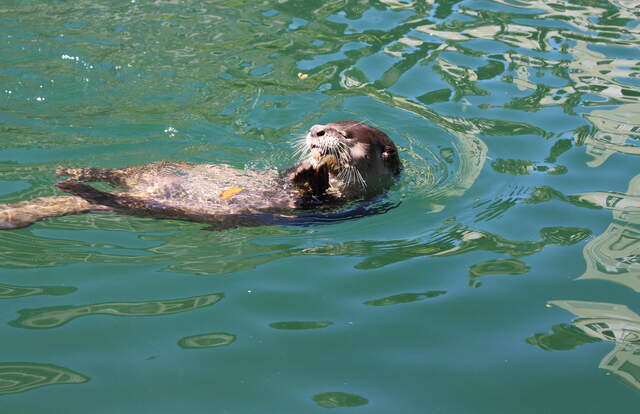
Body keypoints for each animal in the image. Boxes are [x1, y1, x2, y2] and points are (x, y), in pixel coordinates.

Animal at [0, 121, 401, 230]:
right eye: (329, 121)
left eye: (345, 134)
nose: (316, 130)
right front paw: (301, 168)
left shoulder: (327, 208)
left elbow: (304, 196)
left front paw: (310, 175)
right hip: (155, 168)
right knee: (117, 173)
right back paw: (72, 170)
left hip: (146, 201)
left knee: (102, 197)